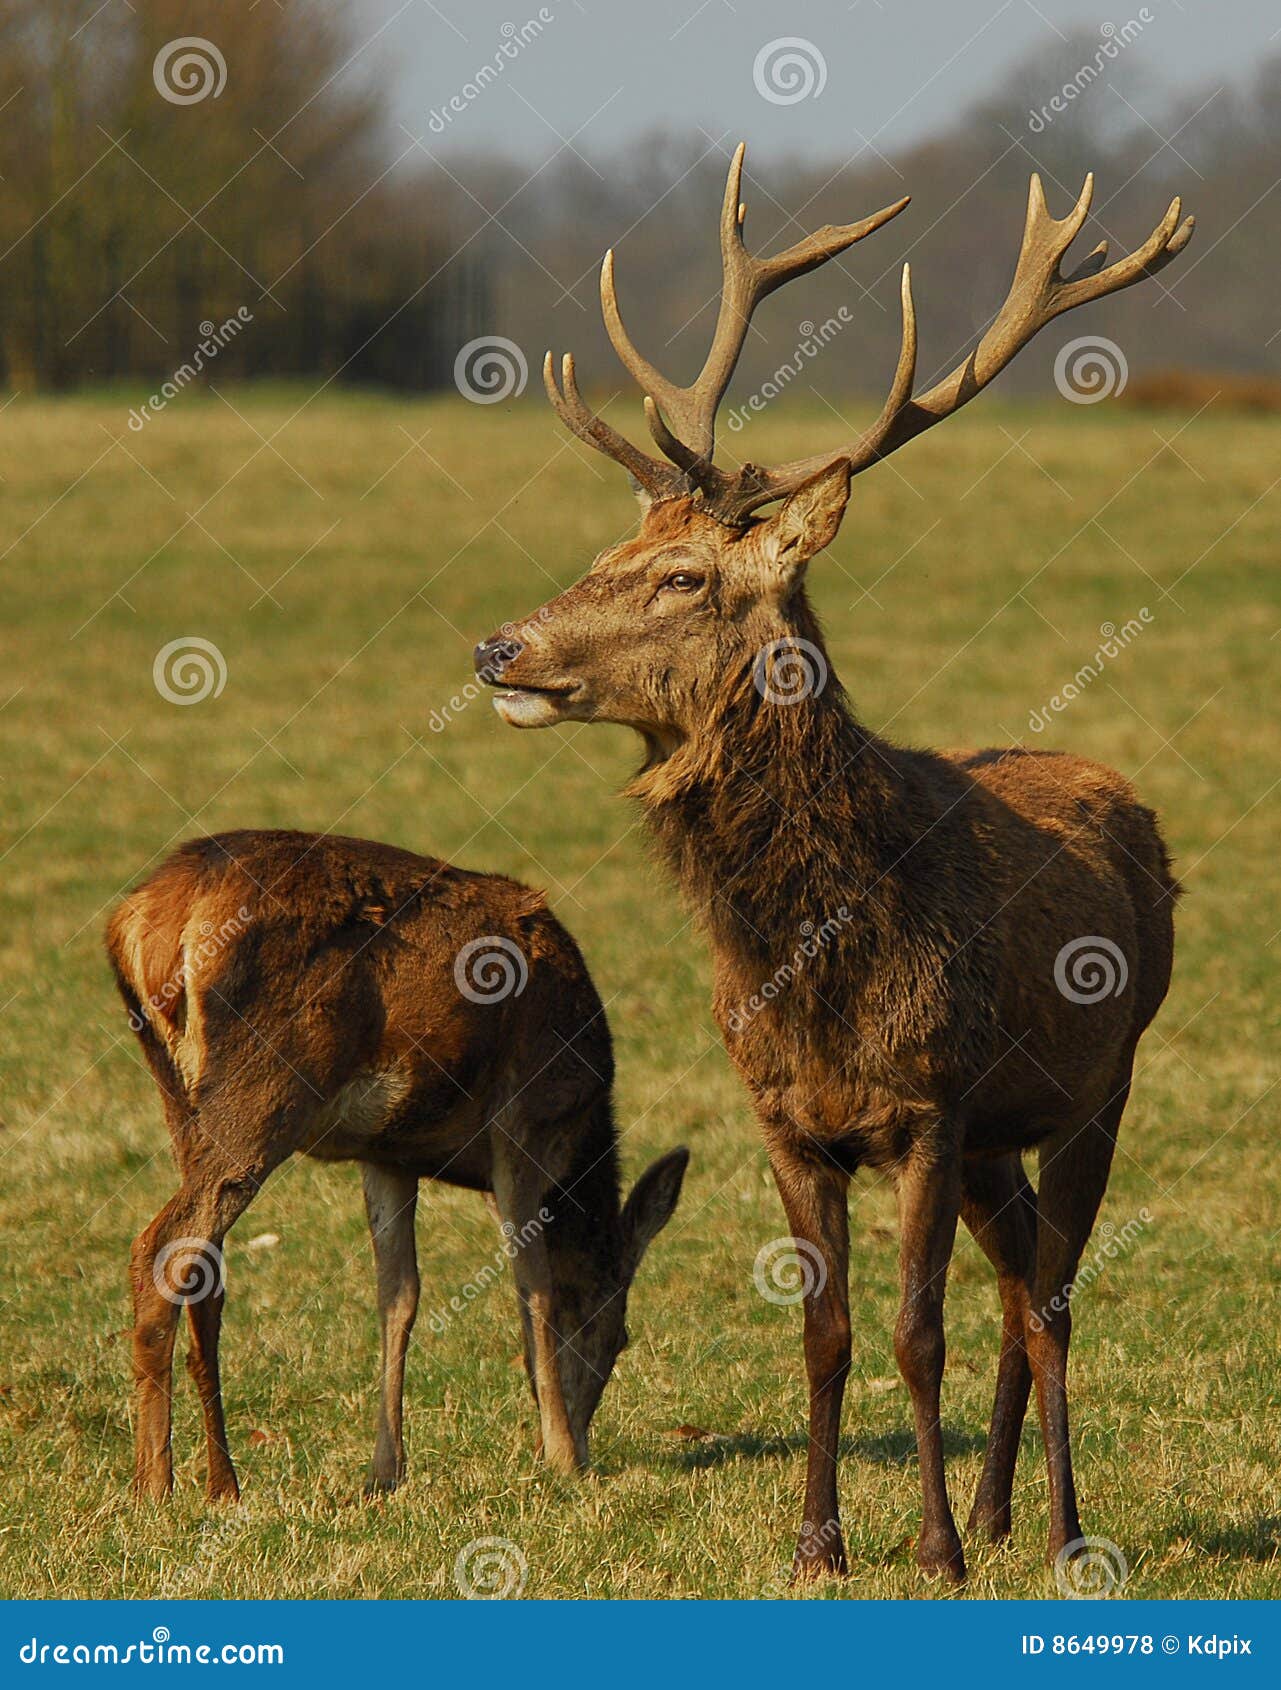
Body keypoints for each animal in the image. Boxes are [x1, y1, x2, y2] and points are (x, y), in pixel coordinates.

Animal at [106, 828, 688, 1503]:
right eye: (619, 1332)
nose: (588, 1442)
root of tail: (141, 922)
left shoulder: (387, 1153)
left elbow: (398, 1295)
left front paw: (385, 1471)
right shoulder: (523, 1119)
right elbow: (532, 1283)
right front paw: (561, 1456)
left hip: (179, 1098)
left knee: (203, 1268)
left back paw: (223, 1483)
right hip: (264, 1086)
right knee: (161, 1245)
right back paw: (154, 1484)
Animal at [474, 144, 1191, 1583]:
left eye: (684, 578)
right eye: (607, 555)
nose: (498, 648)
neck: (815, 967)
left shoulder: (928, 1099)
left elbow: (916, 1329)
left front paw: (930, 1552)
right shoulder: (790, 1118)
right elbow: (827, 1335)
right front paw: (821, 1545)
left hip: (1101, 1080)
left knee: (1053, 1299)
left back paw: (1057, 1530)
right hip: (1000, 1133)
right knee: (1021, 1284)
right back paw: (999, 1507)